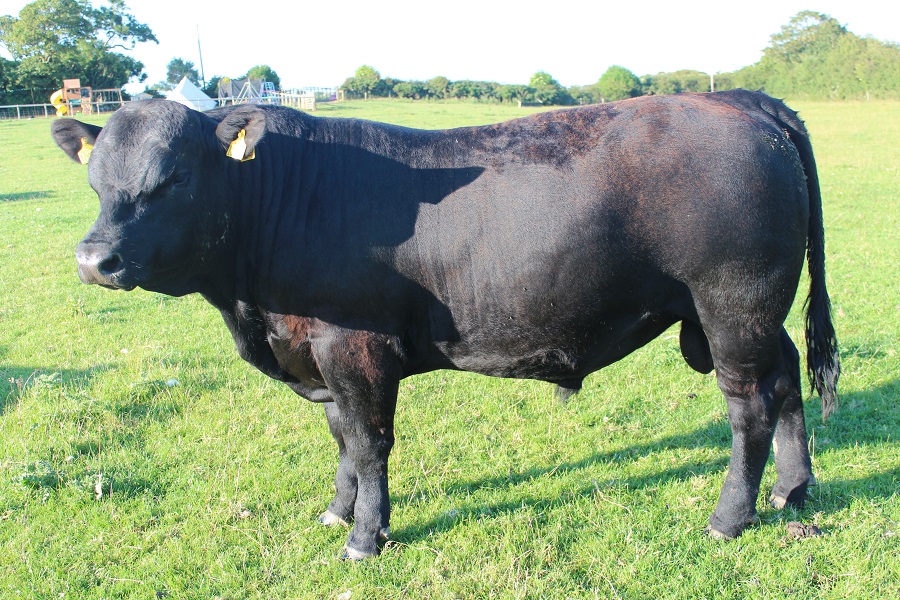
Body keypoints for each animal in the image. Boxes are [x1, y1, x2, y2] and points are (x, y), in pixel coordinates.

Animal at [52, 89, 839, 559]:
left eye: (174, 177)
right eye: (95, 181)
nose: (95, 259)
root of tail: (736, 97)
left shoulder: (356, 346)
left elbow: (370, 443)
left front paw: (366, 536)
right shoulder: (321, 354)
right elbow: (342, 438)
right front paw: (338, 511)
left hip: (731, 306)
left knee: (750, 408)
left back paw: (730, 516)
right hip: (747, 315)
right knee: (787, 377)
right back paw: (792, 489)